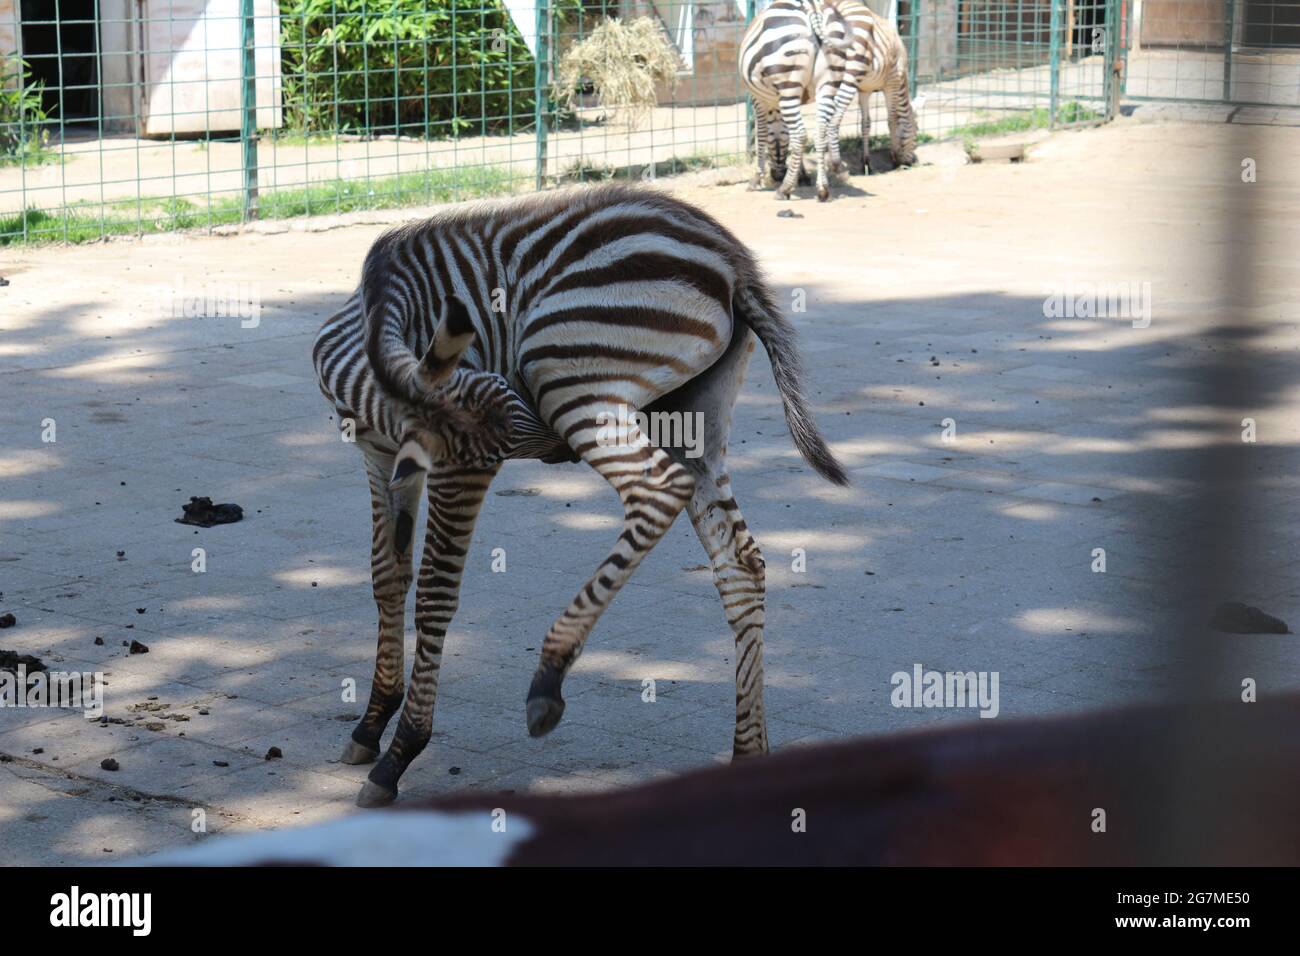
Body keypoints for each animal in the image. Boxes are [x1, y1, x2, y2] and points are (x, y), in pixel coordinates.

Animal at [312, 183, 849, 807]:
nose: (542, 446)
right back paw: (746, 756)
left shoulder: (456, 467)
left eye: (501, 436)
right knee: (741, 565)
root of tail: (729, 257)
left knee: (657, 491)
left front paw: (400, 751)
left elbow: (435, 595)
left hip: (570, 373)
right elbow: (388, 576)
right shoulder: (380, 456)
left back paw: (548, 678)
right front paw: (371, 722)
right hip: (688, 419)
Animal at [739, 0, 855, 201]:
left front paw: (756, 179)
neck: (775, 110)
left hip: (788, 82)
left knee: (800, 134)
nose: (777, 175)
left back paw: (784, 189)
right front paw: (801, 175)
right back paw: (822, 189)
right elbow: (792, 137)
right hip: (828, 83)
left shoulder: (758, 99)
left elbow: (761, 135)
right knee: (819, 132)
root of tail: (812, 8)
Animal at [815, 0, 918, 175]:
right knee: (833, 117)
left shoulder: (865, 90)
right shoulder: (892, 84)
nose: (910, 163)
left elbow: (866, 124)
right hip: (847, 74)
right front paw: (894, 158)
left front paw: (866, 163)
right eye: (915, 133)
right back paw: (834, 163)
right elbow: (891, 120)